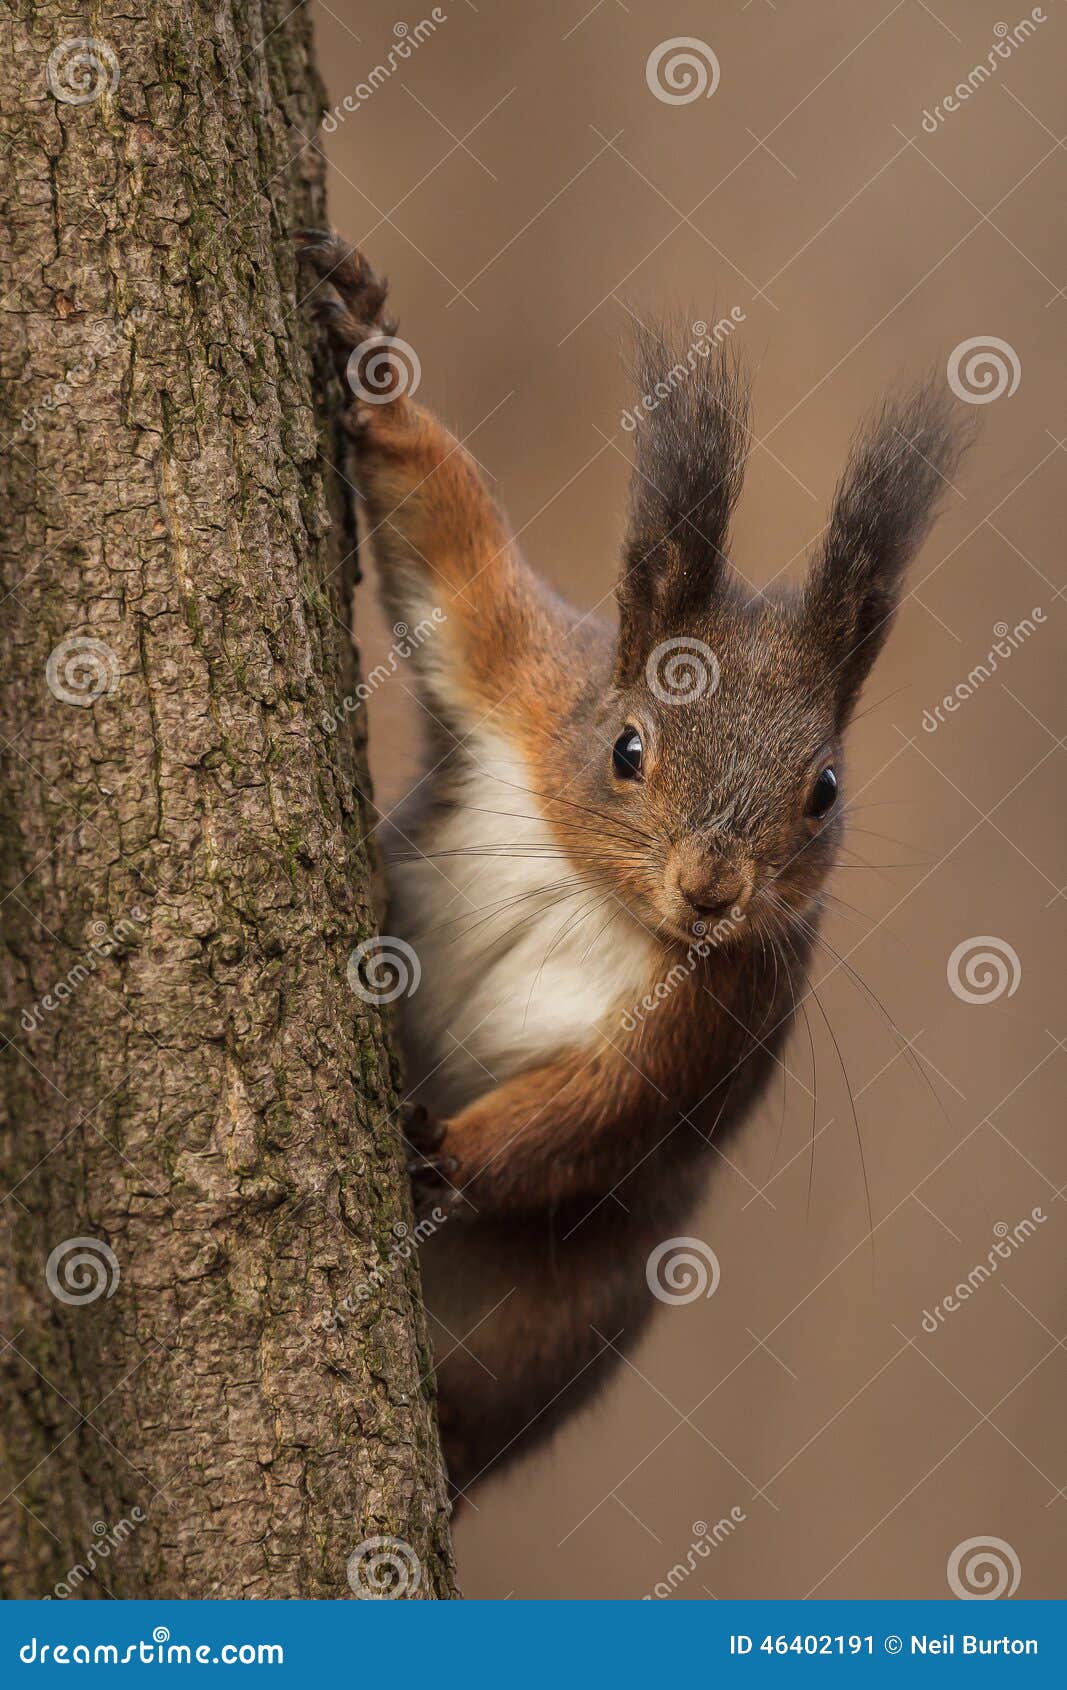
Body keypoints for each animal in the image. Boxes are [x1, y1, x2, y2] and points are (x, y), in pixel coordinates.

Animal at [297, 231, 967, 1506]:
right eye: (624, 746)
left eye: (823, 791)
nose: (711, 889)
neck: (592, 887)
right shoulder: (522, 677)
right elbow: (449, 545)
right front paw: (368, 352)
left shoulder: (723, 1009)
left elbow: (603, 1112)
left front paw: (447, 1150)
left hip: (559, 1314)